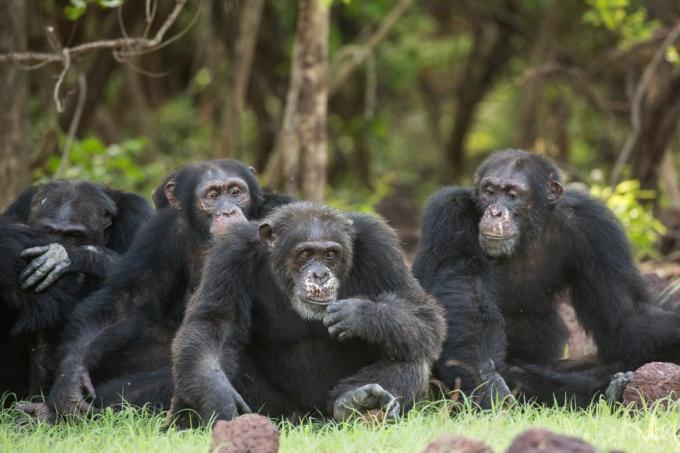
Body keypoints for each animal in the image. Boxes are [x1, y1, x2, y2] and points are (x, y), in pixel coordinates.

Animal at [0, 180, 151, 400]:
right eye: (50, 231)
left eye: (73, 235)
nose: (59, 243)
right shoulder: (17, 211)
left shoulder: (138, 216)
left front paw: (71, 254)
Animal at [23, 160, 292, 420]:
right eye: (213, 195)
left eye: (236, 192)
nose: (228, 210)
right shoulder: (161, 230)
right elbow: (126, 300)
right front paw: (69, 381)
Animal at [168, 203, 446, 426]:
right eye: (305, 254)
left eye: (330, 255)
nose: (320, 274)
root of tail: (312, 418)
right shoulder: (231, 253)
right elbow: (213, 323)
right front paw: (219, 398)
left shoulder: (379, 245)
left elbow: (423, 313)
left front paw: (361, 314)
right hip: (280, 410)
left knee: (412, 355)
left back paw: (351, 402)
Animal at [412, 149, 680, 406]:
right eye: (489, 191)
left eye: (512, 194)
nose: (495, 212)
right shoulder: (450, 213)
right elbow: (467, 296)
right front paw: (489, 385)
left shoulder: (595, 227)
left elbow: (624, 315)